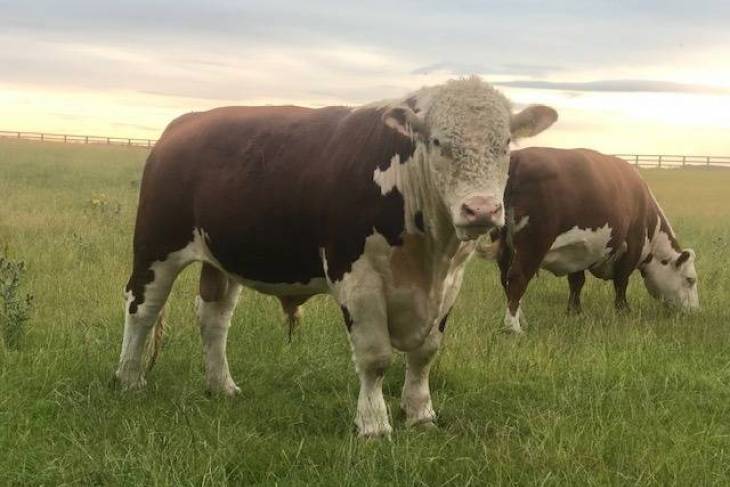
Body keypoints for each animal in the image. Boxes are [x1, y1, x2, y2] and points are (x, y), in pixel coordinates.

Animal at [114, 77, 558, 437]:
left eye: (505, 144)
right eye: (438, 142)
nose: (480, 210)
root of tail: (186, 123)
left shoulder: (449, 283)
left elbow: (425, 353)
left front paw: (420, 414)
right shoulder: (357, 279)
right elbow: (375, 357)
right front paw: (374, 425)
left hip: (221, 258)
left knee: (214, 319)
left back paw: (222, 386)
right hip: (156, 247)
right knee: (142, 309)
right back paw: (130, 379)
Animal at [477, 147, 699, 334]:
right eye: (690, 279)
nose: (695, 311)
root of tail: (516, 158)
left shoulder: (577, 252)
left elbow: (577, 282)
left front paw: (575, 312)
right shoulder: (632, 245)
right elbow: (621, 282)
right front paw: (623, 311)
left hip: (504, 244)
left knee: (505, 278)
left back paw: (521, 319)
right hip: (534, 242)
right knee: (517, 277)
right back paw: (513, 327)